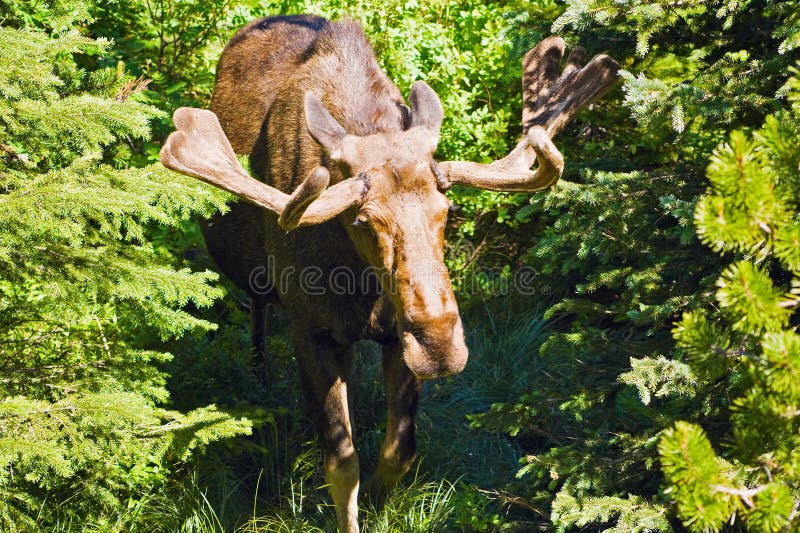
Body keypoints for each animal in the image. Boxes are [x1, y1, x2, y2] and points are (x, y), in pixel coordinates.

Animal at [159, 14, 618, 533]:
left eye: (446, 209)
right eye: (362, 220)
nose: (439, 347)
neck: (362, 288)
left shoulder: (398, 337)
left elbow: (400, 449)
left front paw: (380, 505)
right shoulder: (310, 330)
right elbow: (341, 462)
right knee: (256, 313)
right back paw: (258, 372)